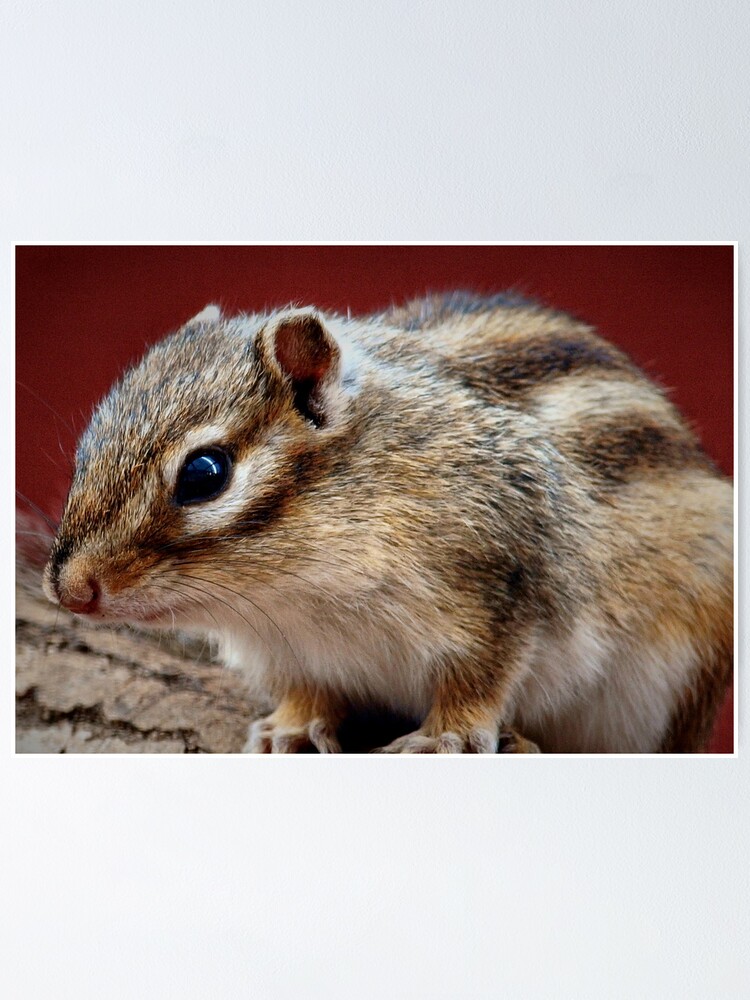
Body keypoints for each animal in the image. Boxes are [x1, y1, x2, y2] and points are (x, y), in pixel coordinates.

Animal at [42, 293, 733, 753]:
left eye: (204, 474)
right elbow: (308, 692)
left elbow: (479, 680)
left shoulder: (505, 590)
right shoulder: (295, 652)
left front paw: (446, 737)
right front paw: (289, 727)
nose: (70, 591)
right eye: (85, 449)